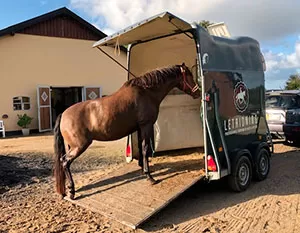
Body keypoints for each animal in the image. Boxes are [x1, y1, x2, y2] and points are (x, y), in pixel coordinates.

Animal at [54, 62, 200, 199]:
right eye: (189, 75)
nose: (197, 93)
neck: (147, 92)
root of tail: (63, 114)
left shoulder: (140, 128)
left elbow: (141, 148)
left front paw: (143, 168)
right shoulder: (146, 126)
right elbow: (145, 148)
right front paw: (149, 176)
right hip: (79, 146)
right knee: (65, 162)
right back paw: (72, 191)